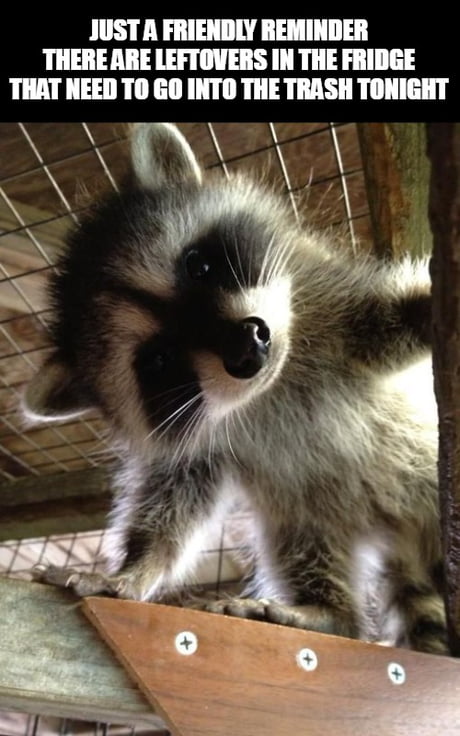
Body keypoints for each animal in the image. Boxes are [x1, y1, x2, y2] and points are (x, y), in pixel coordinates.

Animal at [24, 123, 447, 654]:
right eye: (159, 360)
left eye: (198, 267)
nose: (248, 348)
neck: (271, 386)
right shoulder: (199, 438)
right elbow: (176, 497)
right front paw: (135, 567)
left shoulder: (329, 302)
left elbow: (386, 322)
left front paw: (425, 308)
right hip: (316, 513)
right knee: (301, 542)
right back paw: (326, 612)